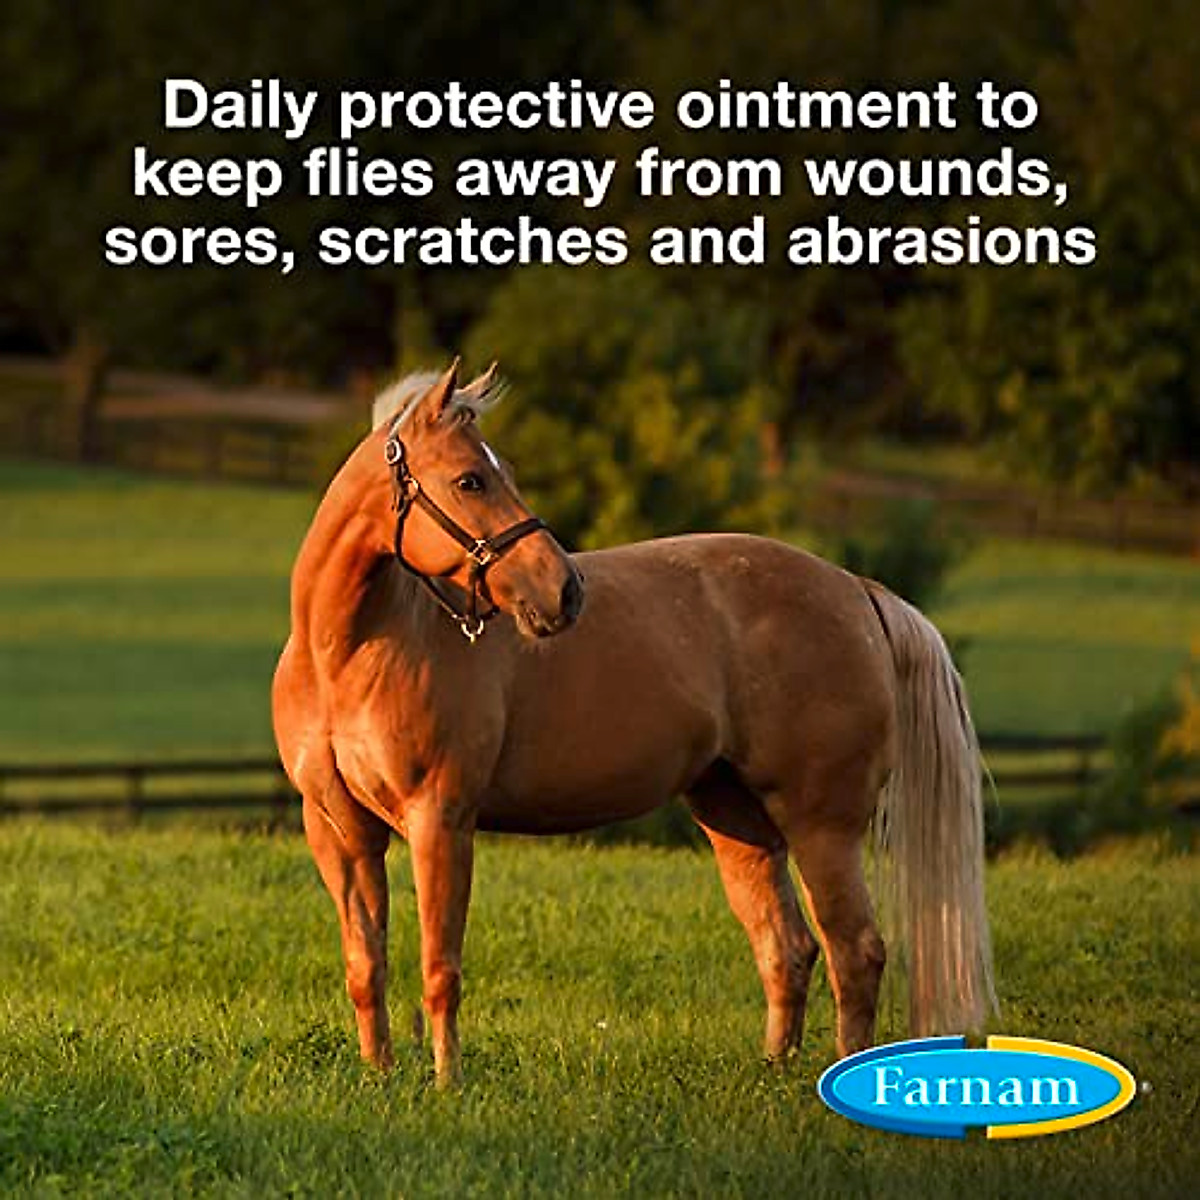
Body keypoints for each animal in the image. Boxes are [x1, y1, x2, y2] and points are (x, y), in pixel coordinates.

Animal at [272, 360, 995, 1087]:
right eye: (470, 479)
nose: (563, 591)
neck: (349, 651)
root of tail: (855, 590)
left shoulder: (440, 817)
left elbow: (439, 967)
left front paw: (448, 1085)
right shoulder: (339, 831)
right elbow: (366, 965)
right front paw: (380, 1077)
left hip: (822, 824)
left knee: (856, 951)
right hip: (735, 818)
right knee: (787, 947)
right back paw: (773, 1068)